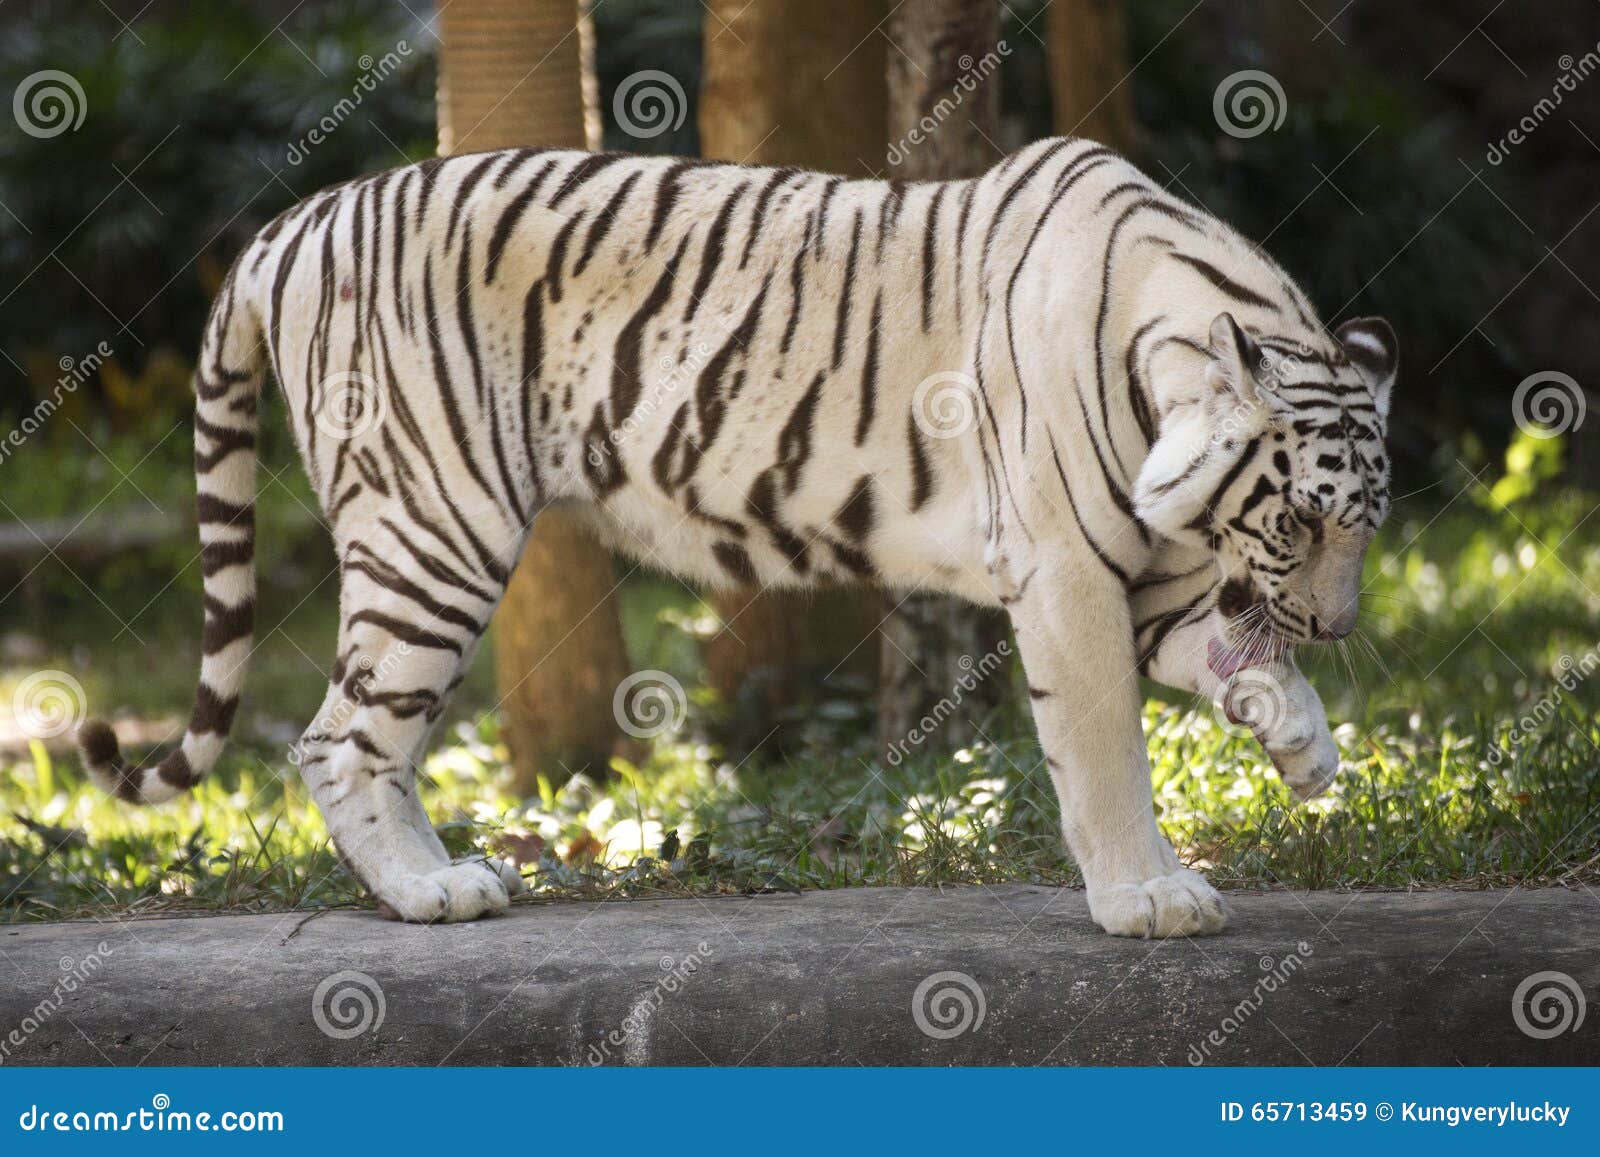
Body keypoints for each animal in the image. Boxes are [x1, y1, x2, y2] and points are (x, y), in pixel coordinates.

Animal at [78, 136, 1397, 938]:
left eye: (1361, 530)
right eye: (1297, 516)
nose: (1338, 626)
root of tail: (291, 222)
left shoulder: (1154, 574)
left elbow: (1229, 659)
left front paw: (1305, 745)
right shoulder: (1065, 569)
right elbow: (1106, 741)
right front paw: (1149, 895)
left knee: (362, 736)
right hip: (431, 527)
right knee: (341, 738)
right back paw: (428, 891)